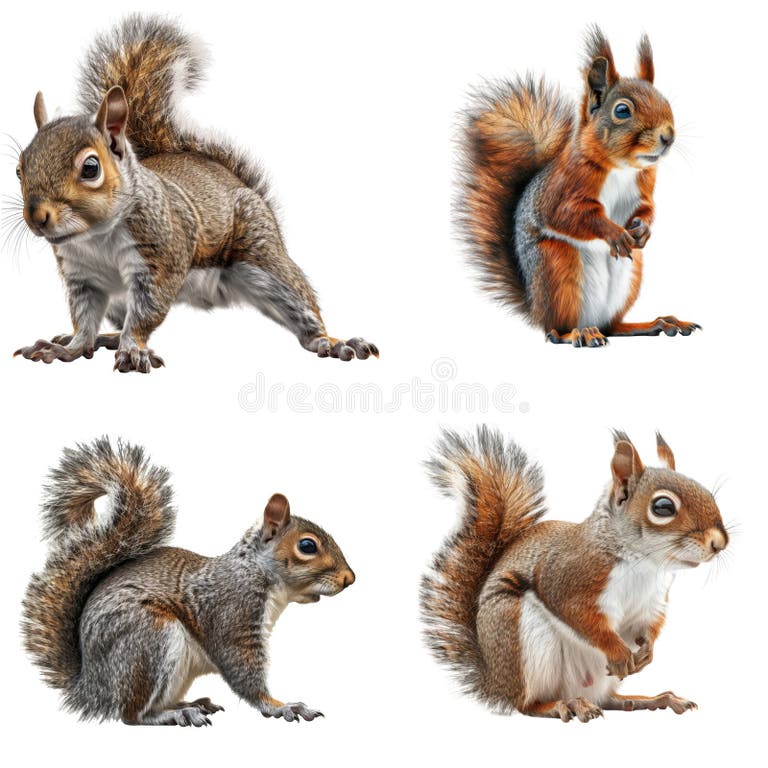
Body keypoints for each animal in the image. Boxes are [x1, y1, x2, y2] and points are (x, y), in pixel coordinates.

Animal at [13, 15, 378, 372]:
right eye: (19, 169)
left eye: (91, 168)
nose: (37, 217)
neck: (95, 238)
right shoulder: (83, 277)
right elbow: (85, 322)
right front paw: (69, 348)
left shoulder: (161, 259)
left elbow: (145, 314)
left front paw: (133, 351)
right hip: (118, 301)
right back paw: (107, 338)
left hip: (264, 260)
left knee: (301, 306)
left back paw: (332, 342)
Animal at [21, 437, 355, 726]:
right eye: (307, 546)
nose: (350, 578)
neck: (256, 571)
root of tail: (91, 687)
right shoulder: (232, 612)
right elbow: (241, 669)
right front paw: (280, 706)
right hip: (148, 640)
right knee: (132, 714)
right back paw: (174, 715)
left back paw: (190, 703)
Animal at [420, 426, 728, 722]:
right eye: (663, 507)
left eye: (708, 493)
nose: (719, 543)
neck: (645, 565)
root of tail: (496, 684)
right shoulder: (569, 578)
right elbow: (582, 618)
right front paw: (617, 651)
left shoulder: (651, 602)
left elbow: (647, 626)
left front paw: (647, 652)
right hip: (524, 638)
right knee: (527, 704)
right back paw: (564, 704)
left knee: (608, 700)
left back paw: (651, 699)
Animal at [461, 26, 700, 347]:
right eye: (622, 111)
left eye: (665, 101)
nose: (668, 136)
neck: (623, 168)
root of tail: (536, 308)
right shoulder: (564, 186)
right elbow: (568, 215)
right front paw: (615, 233)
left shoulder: (644, 186)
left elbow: (647, 208)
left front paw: (643, 229)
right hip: (557, 268)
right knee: (555, 330)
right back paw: (579, 333)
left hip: (631, 273)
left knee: (612, 326)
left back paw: (656, 323)